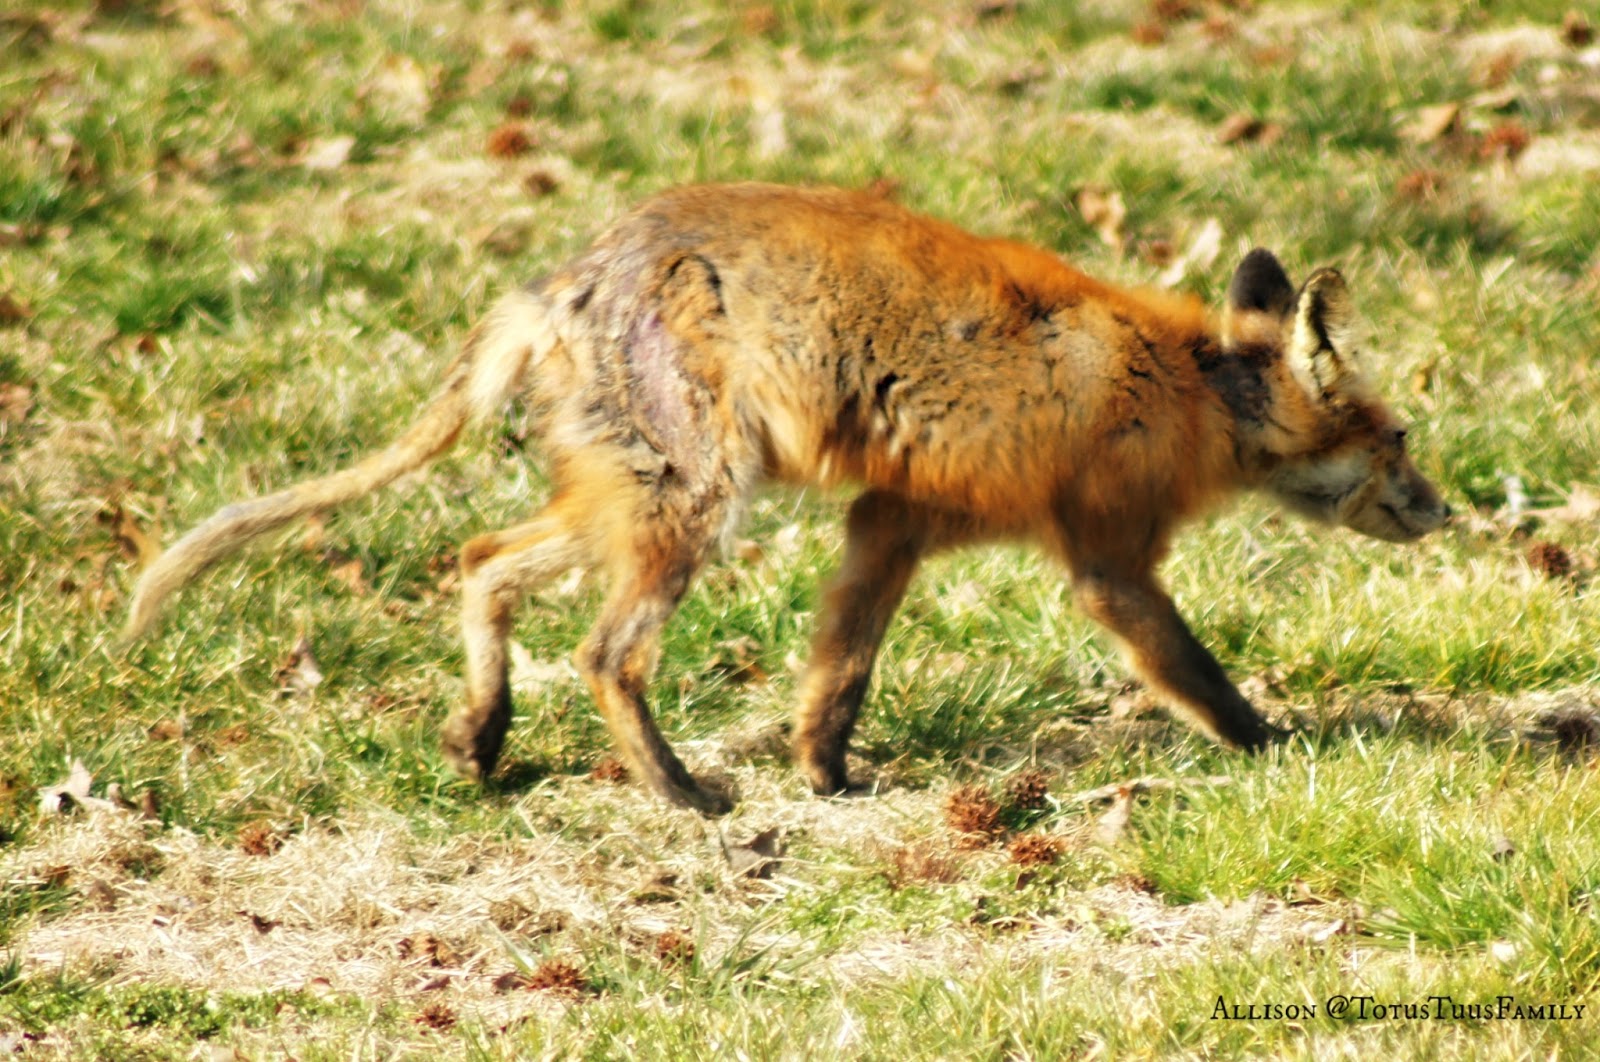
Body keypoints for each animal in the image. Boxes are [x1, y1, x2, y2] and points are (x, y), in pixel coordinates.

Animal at [125, 182, 1450, 815]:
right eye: (1397, 439)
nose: (1449, 512)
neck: (1176, 387)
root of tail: (570, 273)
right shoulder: (1108, 563)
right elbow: (1201, 678)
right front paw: (1282, 750)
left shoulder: (895, 521)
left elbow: (840, 670)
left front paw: (824, 775)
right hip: (690, 506)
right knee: (605, 653)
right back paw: (679, 794)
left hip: (623, 502)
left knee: (479, 560)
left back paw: (484, 740)